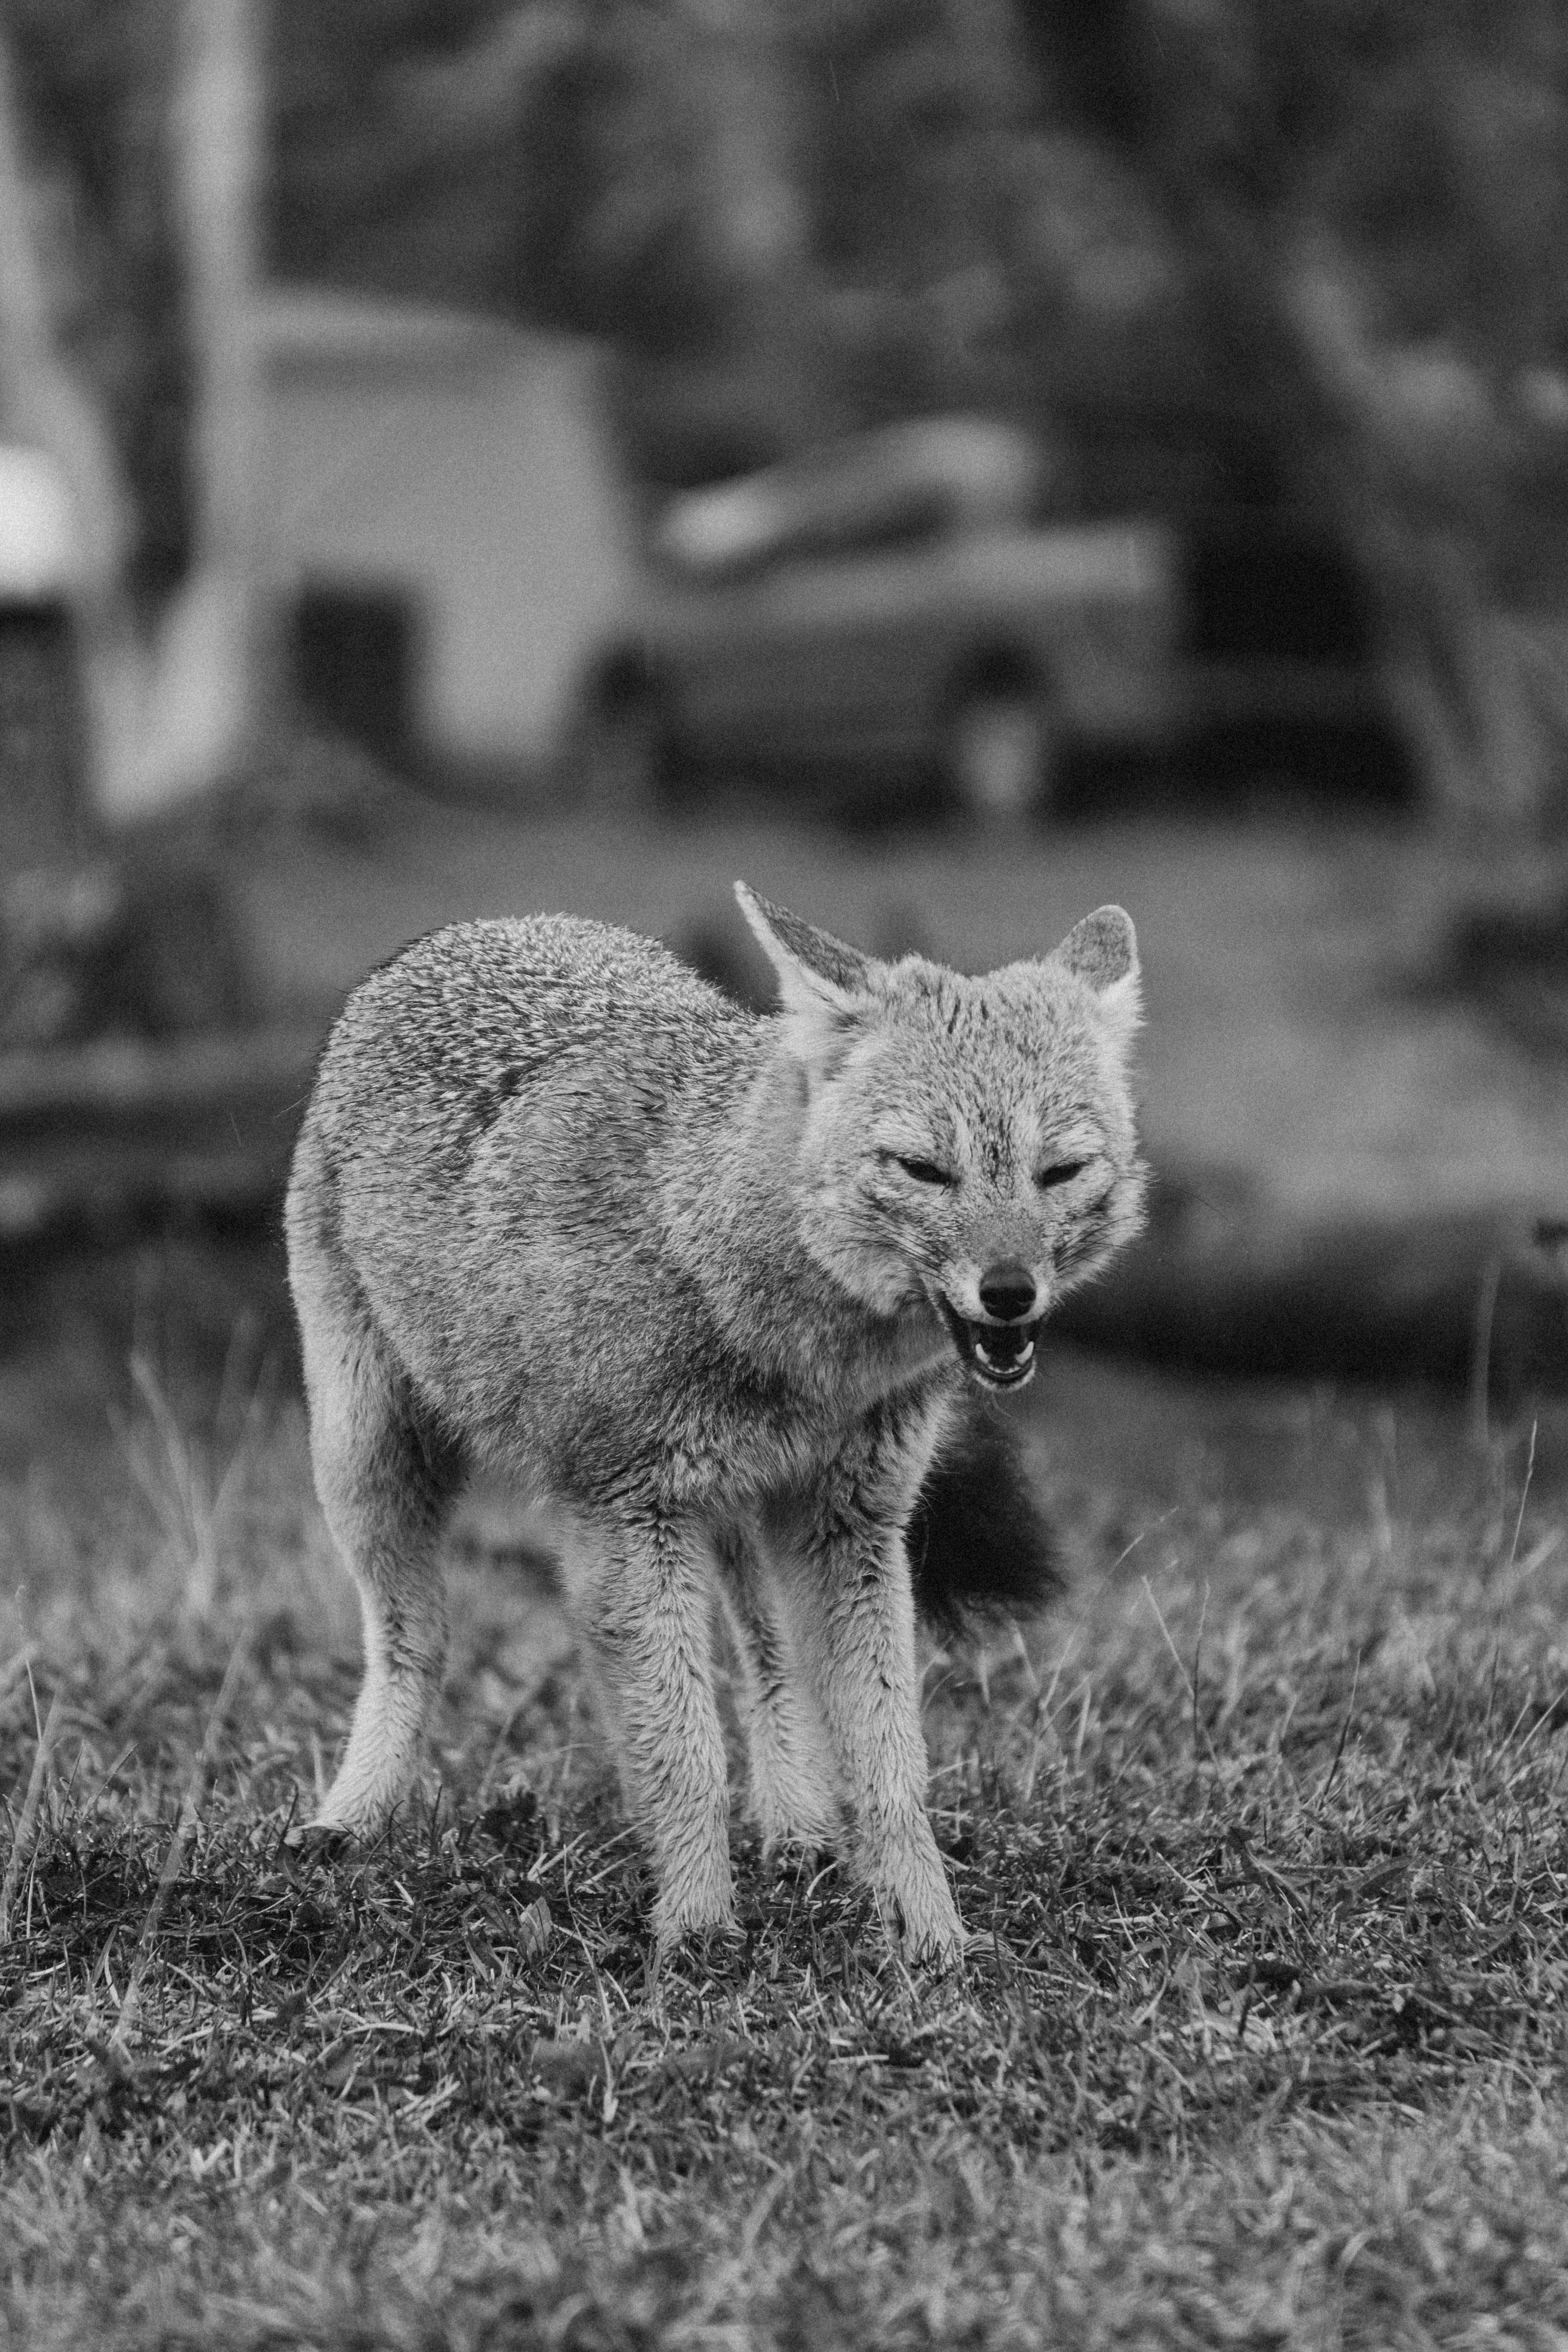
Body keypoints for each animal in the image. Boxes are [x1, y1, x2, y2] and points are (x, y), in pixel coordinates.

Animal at [284, 883, 1146, 1965]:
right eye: (923, 1169)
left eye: (1058, 1171)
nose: (1008, 1294)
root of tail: (477, 927)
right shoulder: (623, 1516)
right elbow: (682, 1757)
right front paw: (695, 1932)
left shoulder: (846, 1524)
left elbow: (891, 1765)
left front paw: (929, 1934)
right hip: (371, 1467)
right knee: (415, 1642)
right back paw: (354, 1818)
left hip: (742, 1516)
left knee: (765, 1654)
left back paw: (796, 1825)